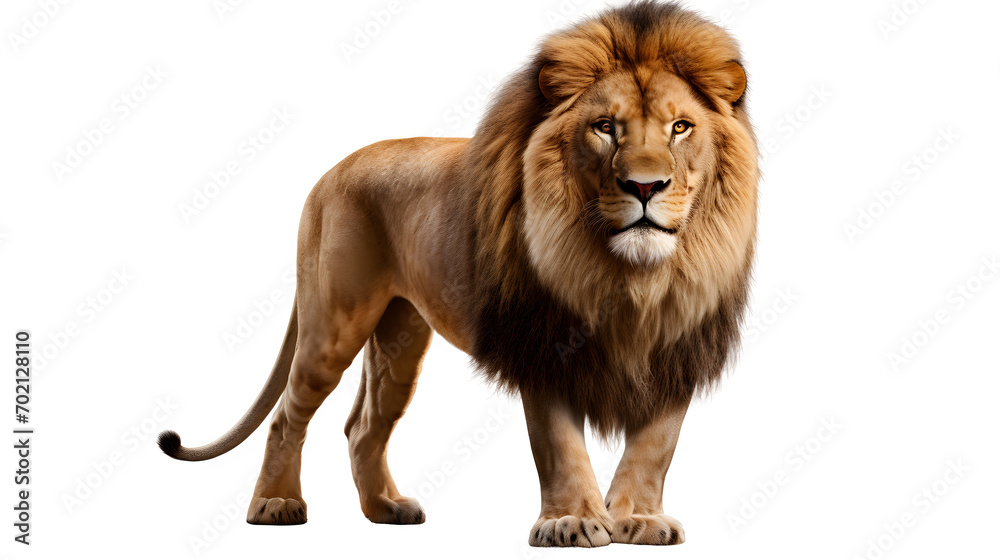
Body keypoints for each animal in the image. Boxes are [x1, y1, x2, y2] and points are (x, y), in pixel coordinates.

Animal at [158, 1, 758, 548]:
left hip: (399, 338)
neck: (631, 277)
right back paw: (275, 506)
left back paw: (387, 509)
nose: (645, 186)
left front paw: (639, 520)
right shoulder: (540, 342)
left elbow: (655, 446)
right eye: (605, 128)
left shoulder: (680, 346)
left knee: (363, 426)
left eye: (680, 127)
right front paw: (572, 522)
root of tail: (330, 173)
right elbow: (560, 445)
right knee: (288, 414)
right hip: (333, 325)